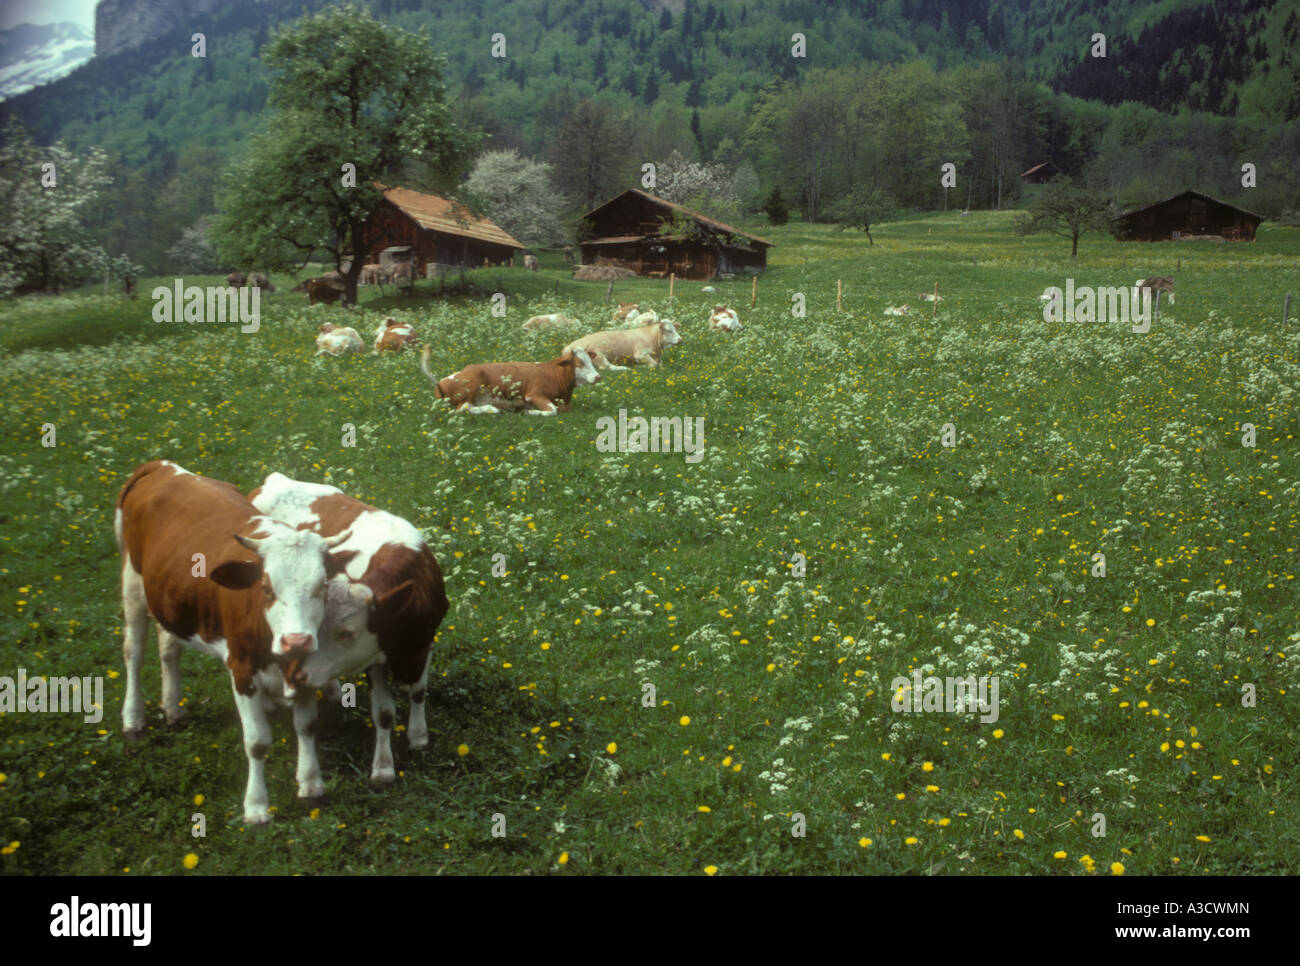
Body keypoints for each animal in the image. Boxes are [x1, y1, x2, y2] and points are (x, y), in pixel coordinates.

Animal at [116, 459, 351, 823]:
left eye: (322, 586)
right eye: (266, 588)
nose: (296, 640)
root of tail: (163, 466)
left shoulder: (305, 667)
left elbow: (307, 726)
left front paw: (311, 786)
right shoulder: (242, 669)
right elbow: (257, 741)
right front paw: (256, 808)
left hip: (169, 598)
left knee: (168, 648)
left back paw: (172, 708)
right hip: (133, 581)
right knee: (134, 652)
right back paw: (133, 719)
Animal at [248, 473, 449, 785]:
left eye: (346, 633)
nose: (297, 675)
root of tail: (275, 479)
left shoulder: (425, 644)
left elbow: (418, 691)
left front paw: (418, 736)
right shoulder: (373, 661)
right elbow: (384, 713)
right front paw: (383, 767)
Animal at [420, 344, 600, 415]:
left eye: (591, 361)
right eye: (580, 363)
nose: (598, 376)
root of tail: (441, 382)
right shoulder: (534, 395)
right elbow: (552, 411)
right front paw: (528, 412)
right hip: (471, 386)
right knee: (463, 408)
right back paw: (492, 409)